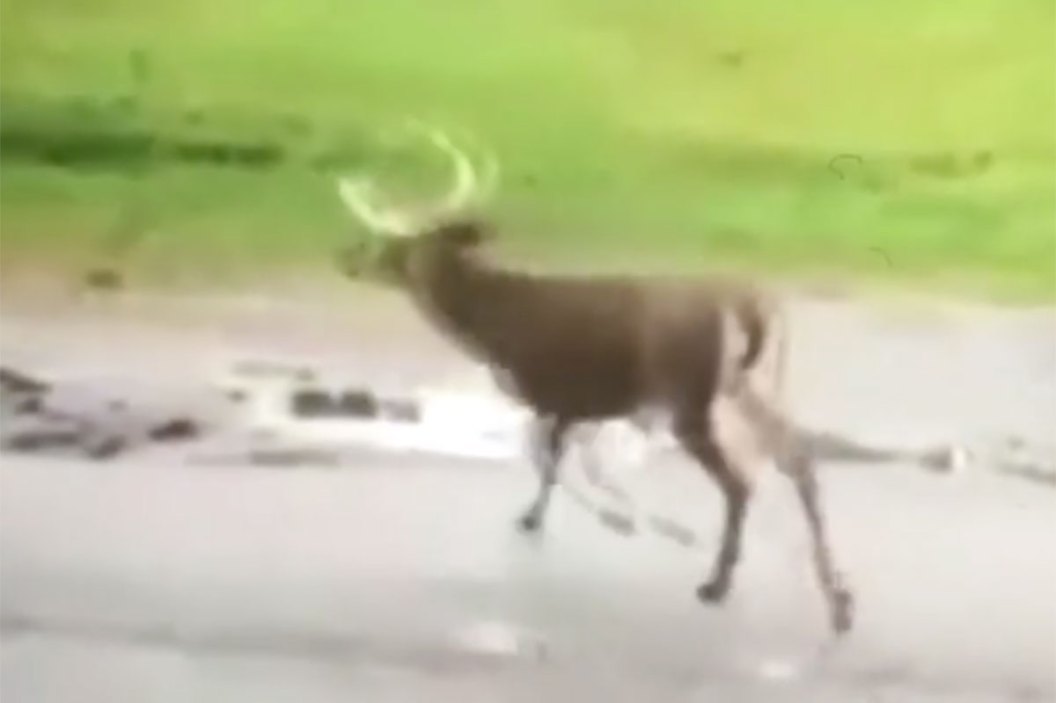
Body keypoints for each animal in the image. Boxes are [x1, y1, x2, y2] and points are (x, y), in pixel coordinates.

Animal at [329, 124, 960, 636]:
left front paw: (620, 522)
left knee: (741, 480)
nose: (349, 258)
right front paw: (555, 517)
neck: (496, 326)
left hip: (694, 396)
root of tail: (753, 307)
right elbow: (556, 456)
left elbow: (549, 453)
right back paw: (840, 603)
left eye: (400, 244)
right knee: (798, 460)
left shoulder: (567, 388)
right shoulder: (580, 401)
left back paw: (717, 585)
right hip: (756, 384)